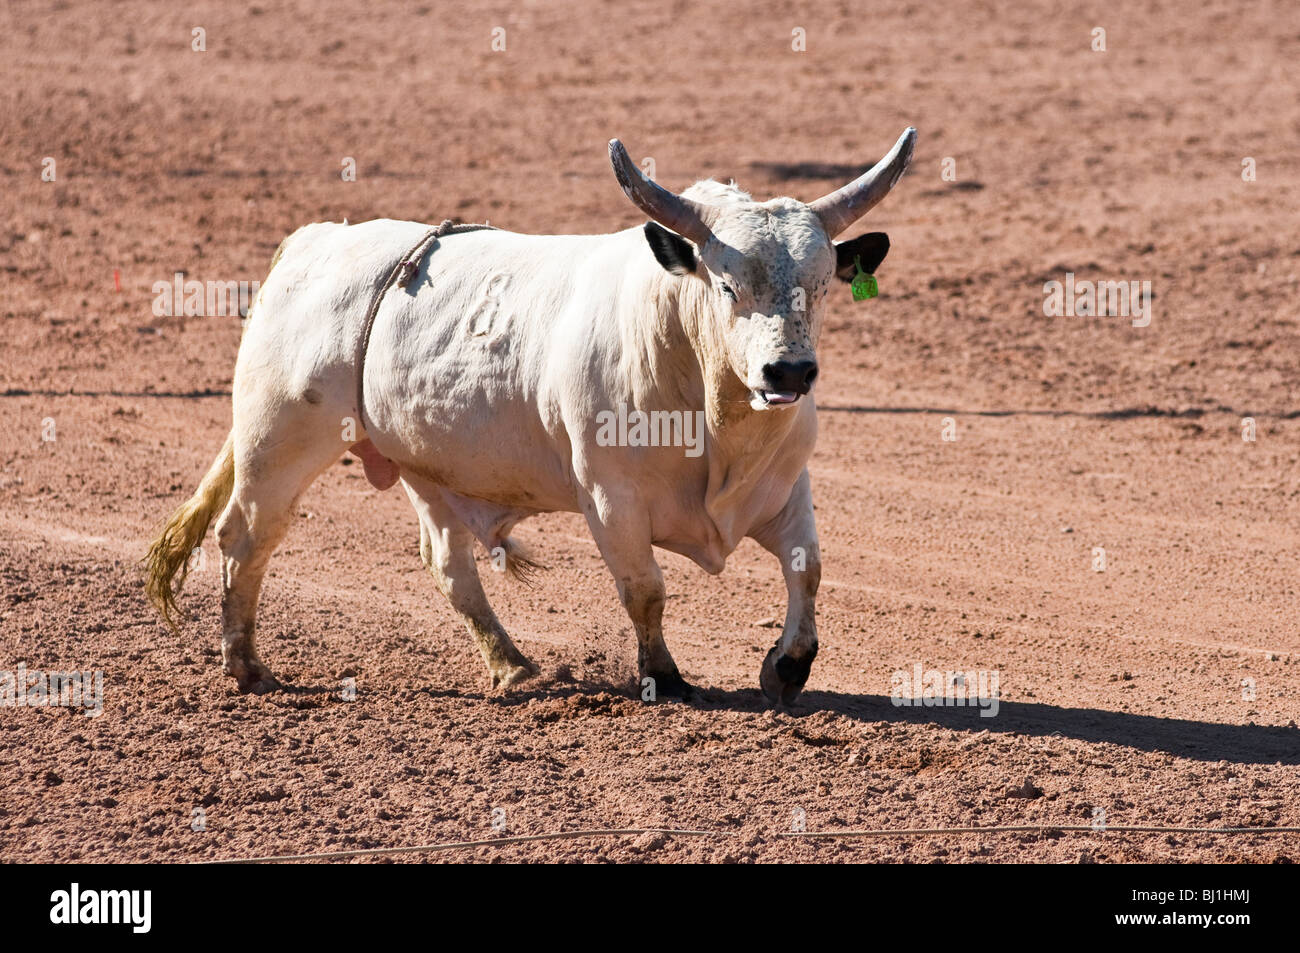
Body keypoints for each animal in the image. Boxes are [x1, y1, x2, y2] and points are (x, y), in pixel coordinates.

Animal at [145, 128, 916, 703]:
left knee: (449, 564)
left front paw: (787, 666)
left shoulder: (787, 490)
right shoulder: (610, 501)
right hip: (277, 440)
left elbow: (808, 570)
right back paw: (246, 665)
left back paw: (511, 665)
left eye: (822, 286)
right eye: (727, 286)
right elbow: (646, 591)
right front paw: (665, 678)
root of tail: (312, 242)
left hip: (426, 474)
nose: (788, 372)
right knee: (246, 537)